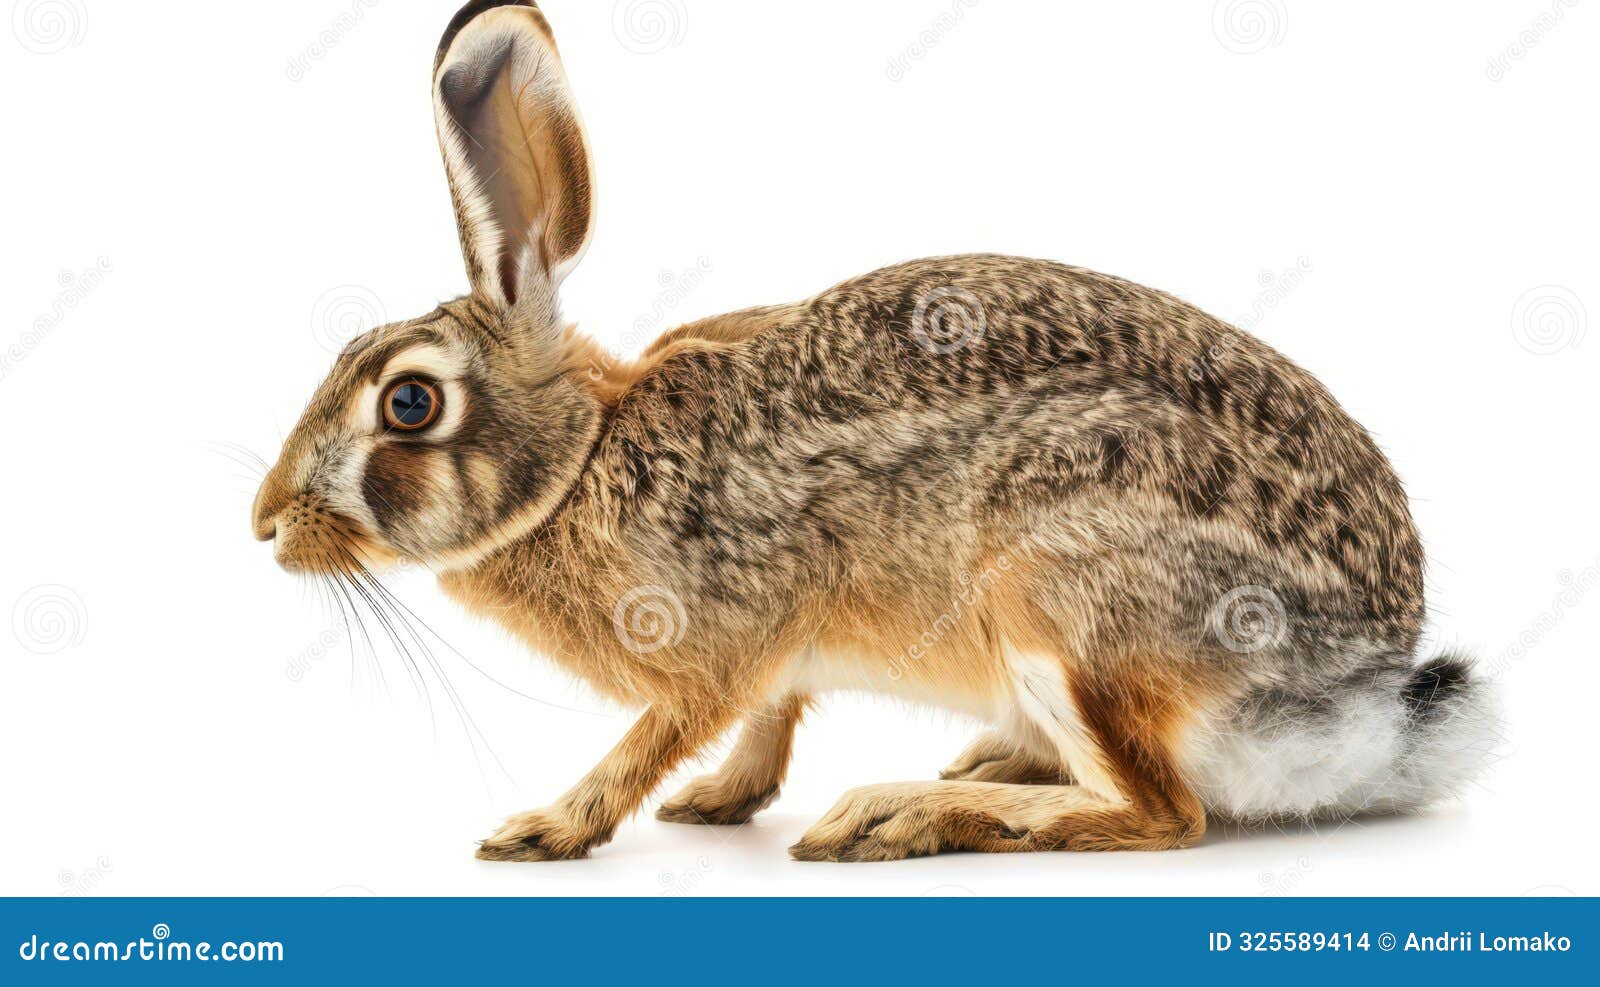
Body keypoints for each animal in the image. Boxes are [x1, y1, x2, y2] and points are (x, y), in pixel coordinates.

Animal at [252, 0, 1498, 862]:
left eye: (409, 403)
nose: (266, 525)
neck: (579, 462)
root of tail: (1363, 698)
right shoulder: (778, 655)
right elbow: (773, 716)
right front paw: (722, 802)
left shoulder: (712, 638)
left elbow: (661, 733)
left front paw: (547, 829)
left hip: (1060, 595)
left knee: (1159, 811)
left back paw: (899, 815)